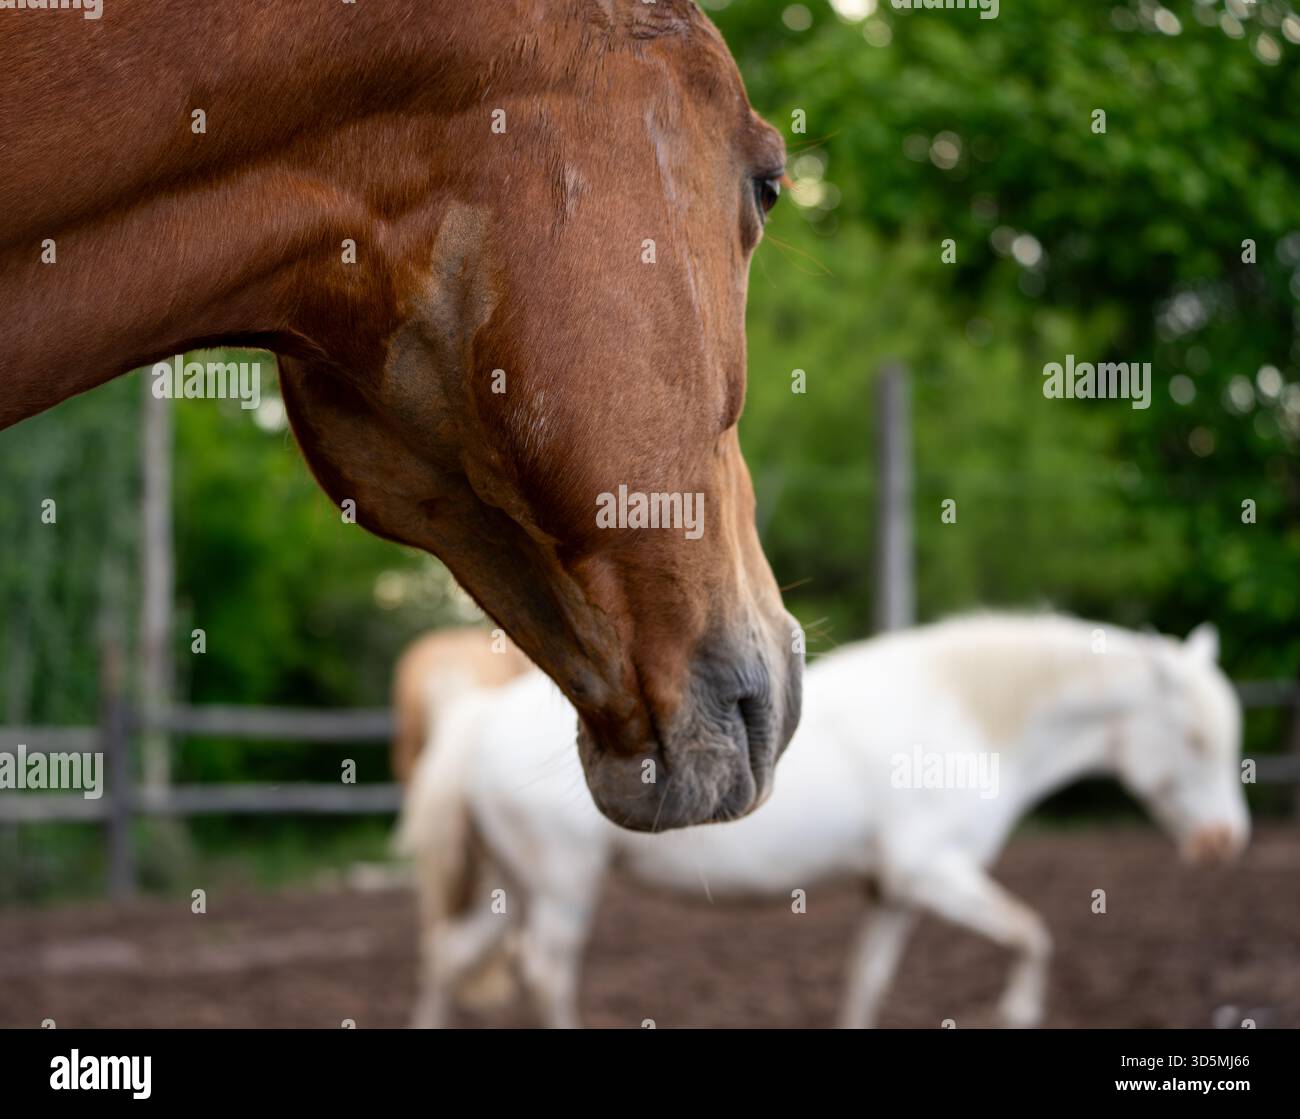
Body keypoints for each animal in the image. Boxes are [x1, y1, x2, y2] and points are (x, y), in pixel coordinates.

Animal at [398, 613, 1250, 1028]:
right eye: (1195, 738)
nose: (1224, 843)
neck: (968, 717)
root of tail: (476, 719)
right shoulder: (932, 874)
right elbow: (1032, 934)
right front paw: (1018, 1011)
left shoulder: (893, 892)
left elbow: (867, 984)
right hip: (562, 889)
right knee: (544, 973)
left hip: (514, 890)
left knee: (446, 955)